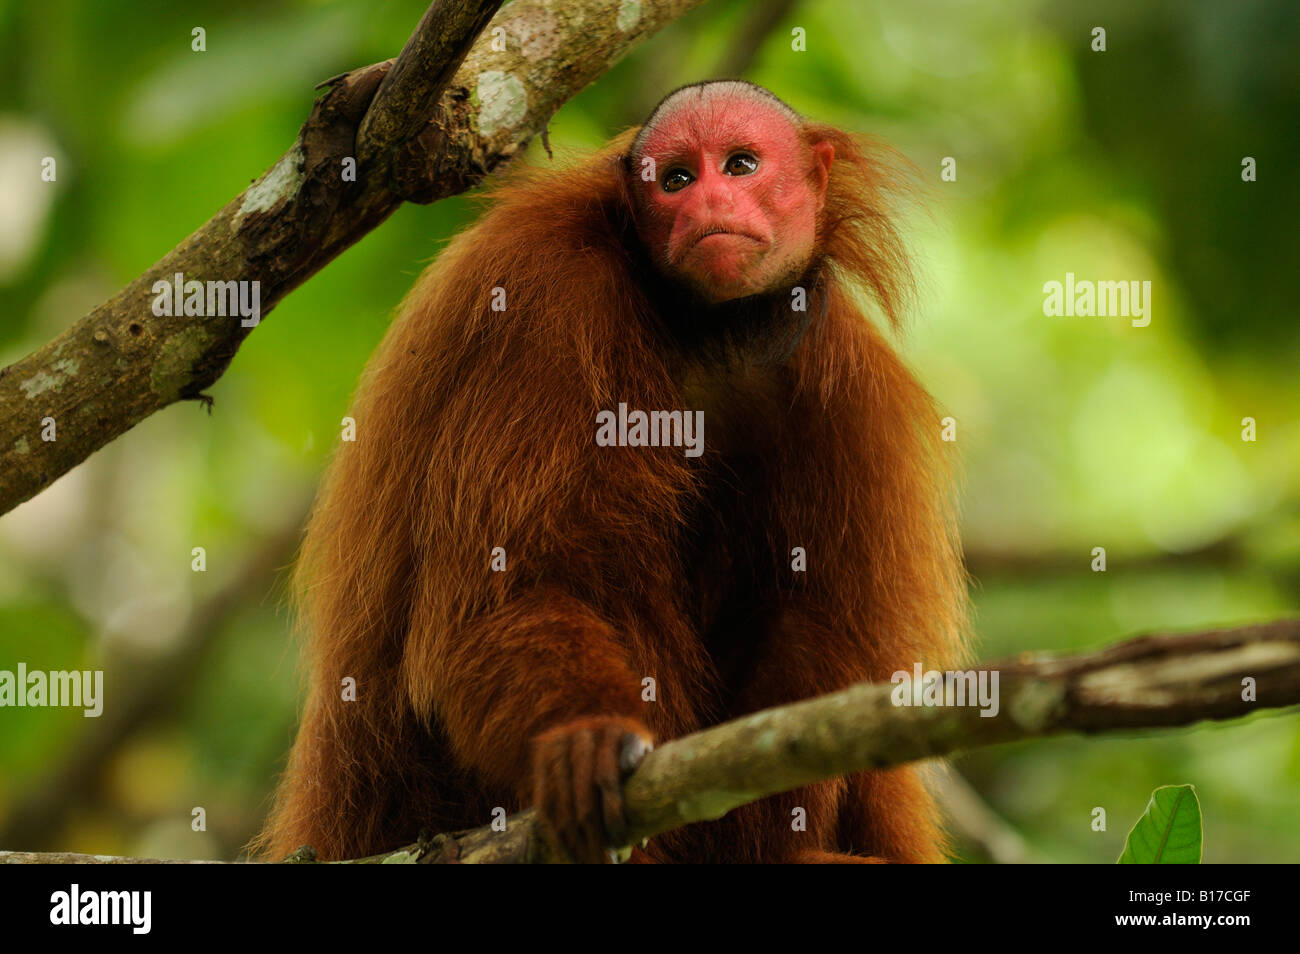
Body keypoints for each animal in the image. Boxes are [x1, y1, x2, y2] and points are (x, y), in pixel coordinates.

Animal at [256, 79, 967, 864]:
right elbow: (512, 592)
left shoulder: (844, 390)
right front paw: (586, 739)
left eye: (741, 164)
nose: (708, 204)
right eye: (676, 179)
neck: (704, 333)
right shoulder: (545, 301)